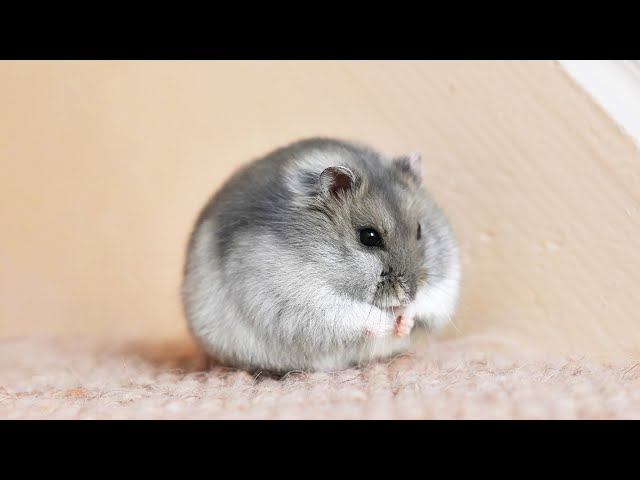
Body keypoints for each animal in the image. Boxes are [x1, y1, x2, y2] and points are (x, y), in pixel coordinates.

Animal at [181, 138, 460, 373]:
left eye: (419, 230)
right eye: (369, 237)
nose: (409, 294)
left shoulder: (444, 285)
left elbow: (424, 305)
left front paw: (403, 322)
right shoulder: (305, 302)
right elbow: (357, 316)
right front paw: (388, 323)